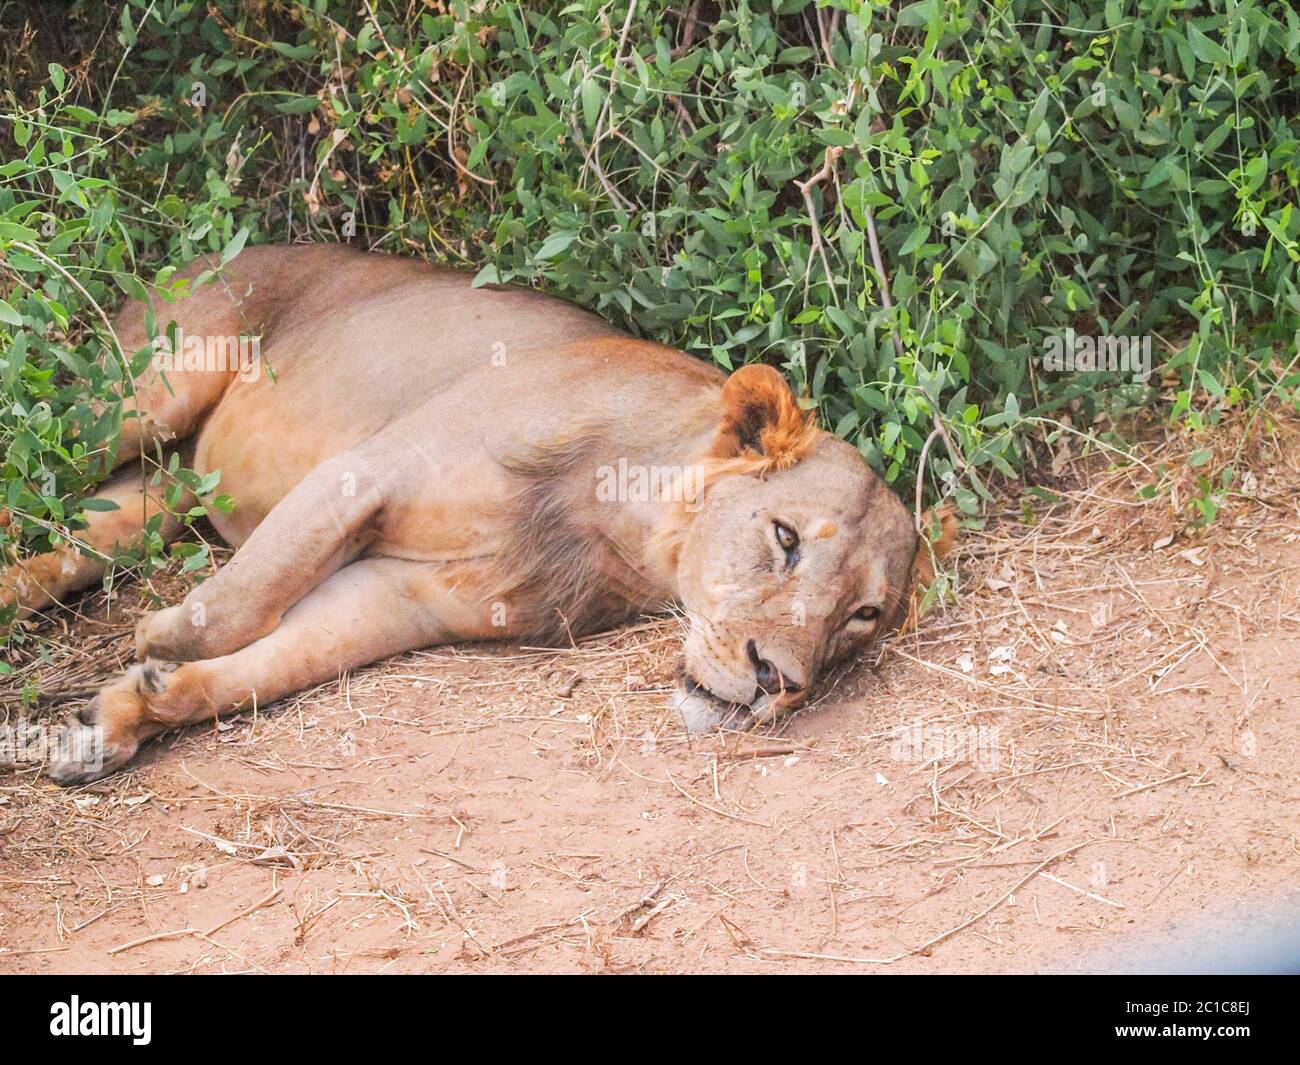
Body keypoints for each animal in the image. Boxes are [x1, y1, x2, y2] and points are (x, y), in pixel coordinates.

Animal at [0, 245, 955, 784]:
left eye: (863, 615)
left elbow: (267, 666)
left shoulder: (401, 599)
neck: (622, 533)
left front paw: (120, 716)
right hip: (139, 396)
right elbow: (245, 601)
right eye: (784, 538)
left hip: (161, 491)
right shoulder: (367, 469)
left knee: (73, 541)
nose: (776, 680)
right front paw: (155, 641)